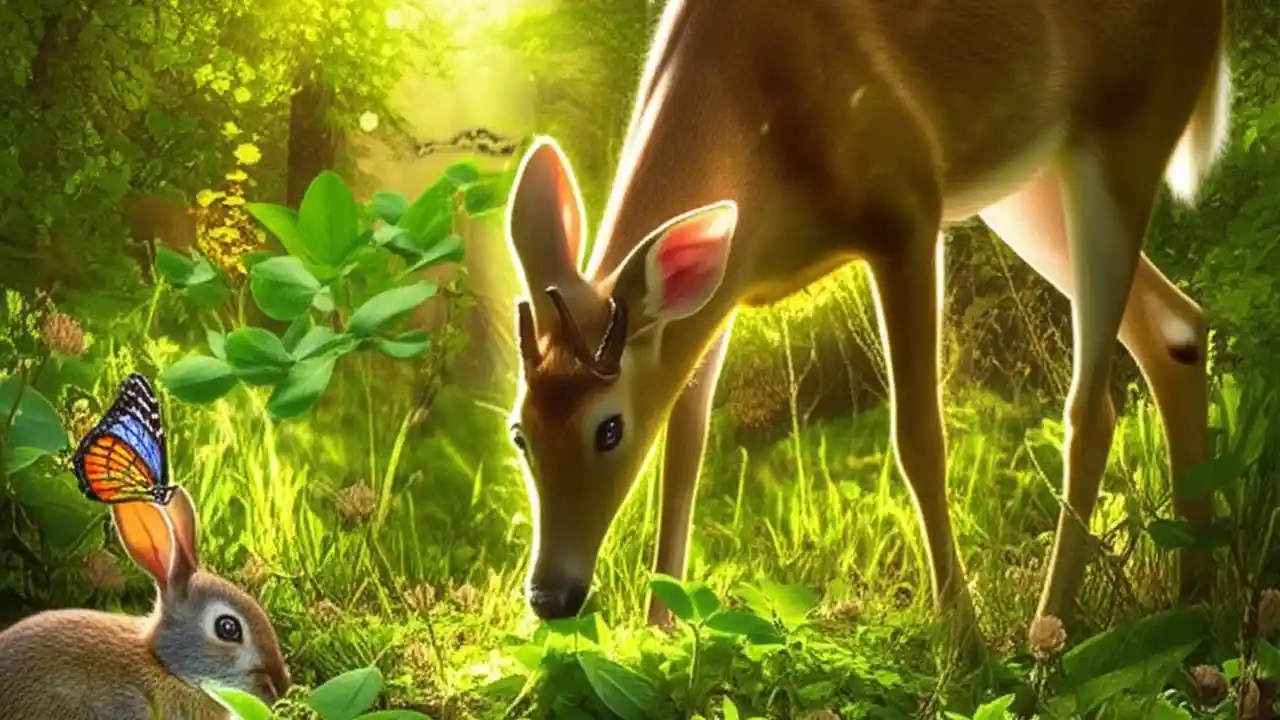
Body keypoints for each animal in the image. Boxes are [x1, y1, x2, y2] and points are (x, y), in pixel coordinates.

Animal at [503, 0, 1230, 652]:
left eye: (609, 428)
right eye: (519, 433)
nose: (549, 596)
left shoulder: (904, 209)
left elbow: (918, 439)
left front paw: (964, 641)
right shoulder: (720, 292)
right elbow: (685, 455)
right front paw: (662, 634)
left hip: (1127, 122)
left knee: (1093, 404)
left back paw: (1046, 636)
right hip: (1028, 178)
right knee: (1174, 328)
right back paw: (1194, 598)